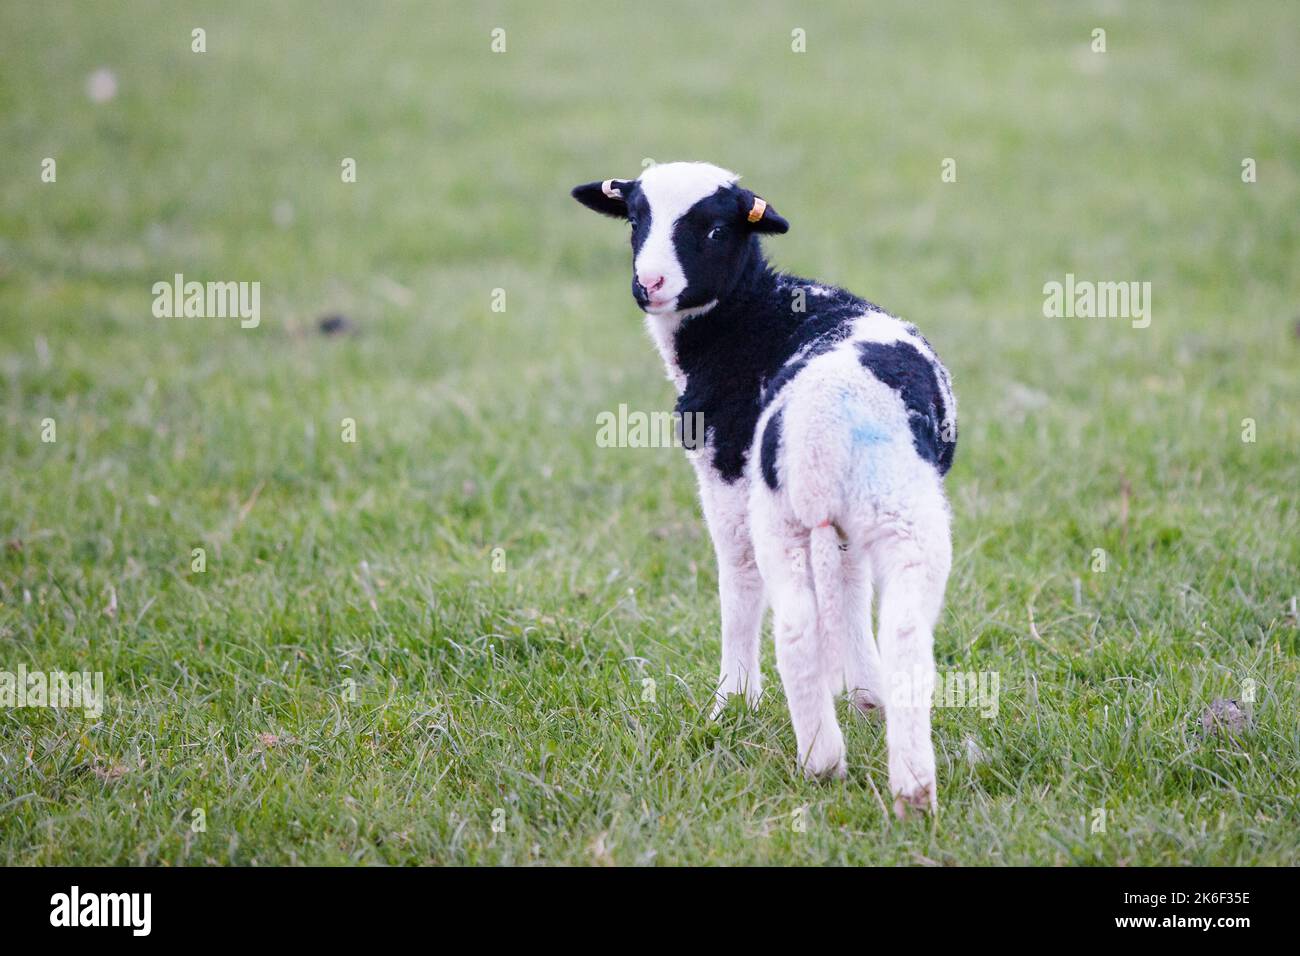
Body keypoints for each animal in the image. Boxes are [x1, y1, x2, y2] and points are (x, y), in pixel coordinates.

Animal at [572, 161, 957, 817]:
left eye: (715, 228)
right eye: (635, 219)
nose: (649, 283)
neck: (751, 315)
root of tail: (824, 428)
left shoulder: (722, 470)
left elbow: (739, 582)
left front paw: (734, 702)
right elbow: (845, 587)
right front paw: (862, 691)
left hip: (839, 510)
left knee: (806, 611)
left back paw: (849, 766)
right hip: (867, 511)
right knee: (860, 624)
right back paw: (873, 772)